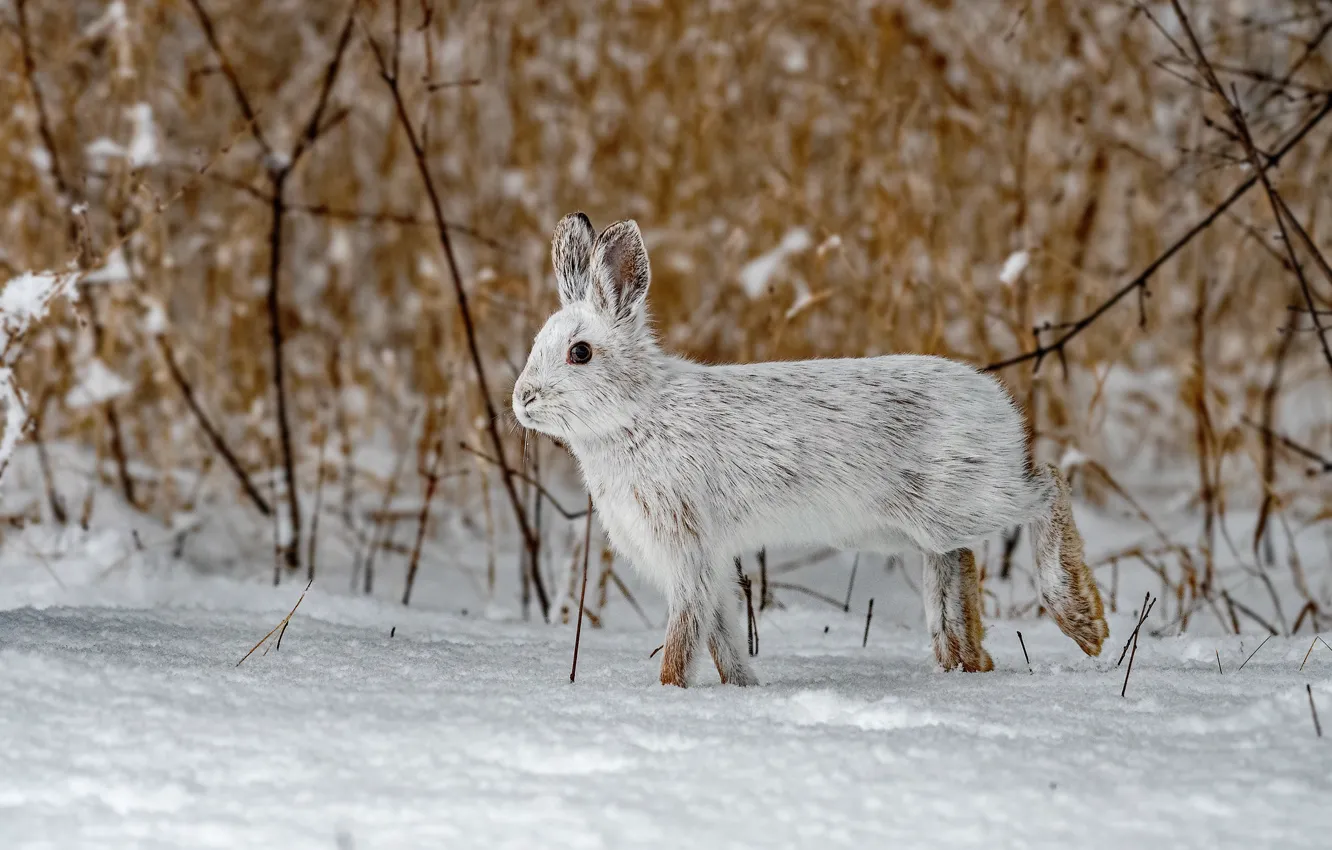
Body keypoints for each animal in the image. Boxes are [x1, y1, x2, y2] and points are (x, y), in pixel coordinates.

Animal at [513, 212, 1108, 687]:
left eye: (581, 353)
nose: (522, 400)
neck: (637, 412)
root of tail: (998, 404)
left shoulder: (687, 548)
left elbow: (685, 635)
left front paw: (670, 691)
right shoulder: (707, 561)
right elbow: (722, 634)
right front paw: (744, 689)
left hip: (962, 501)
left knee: (1047, 485)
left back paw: (1083, 620)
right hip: (919, 525)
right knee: (956, 558)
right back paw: (966, 659)